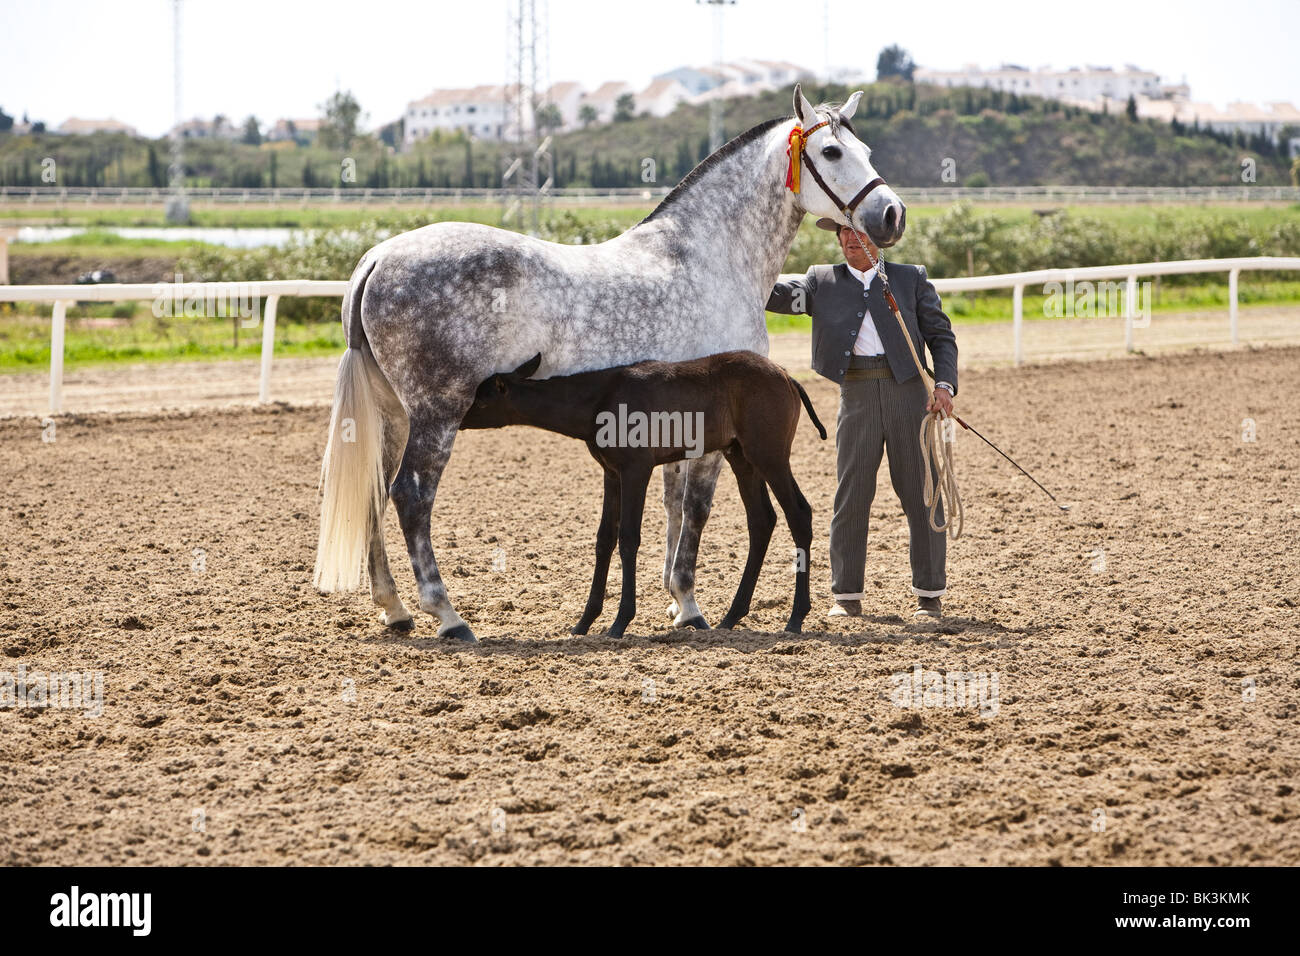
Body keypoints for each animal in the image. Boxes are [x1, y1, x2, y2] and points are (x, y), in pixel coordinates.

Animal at [313, 84, 907, 642]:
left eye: (866, 149)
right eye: (830, 151)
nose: (891, 215)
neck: (706, 258)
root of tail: (377, 258)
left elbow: (672, 509)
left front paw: (675, 604)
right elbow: (695, 512)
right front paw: (688, 606)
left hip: (396, 416)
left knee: (376, 494)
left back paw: (395, 610)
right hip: (438, 416)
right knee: (412, 497)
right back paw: (447, 615)